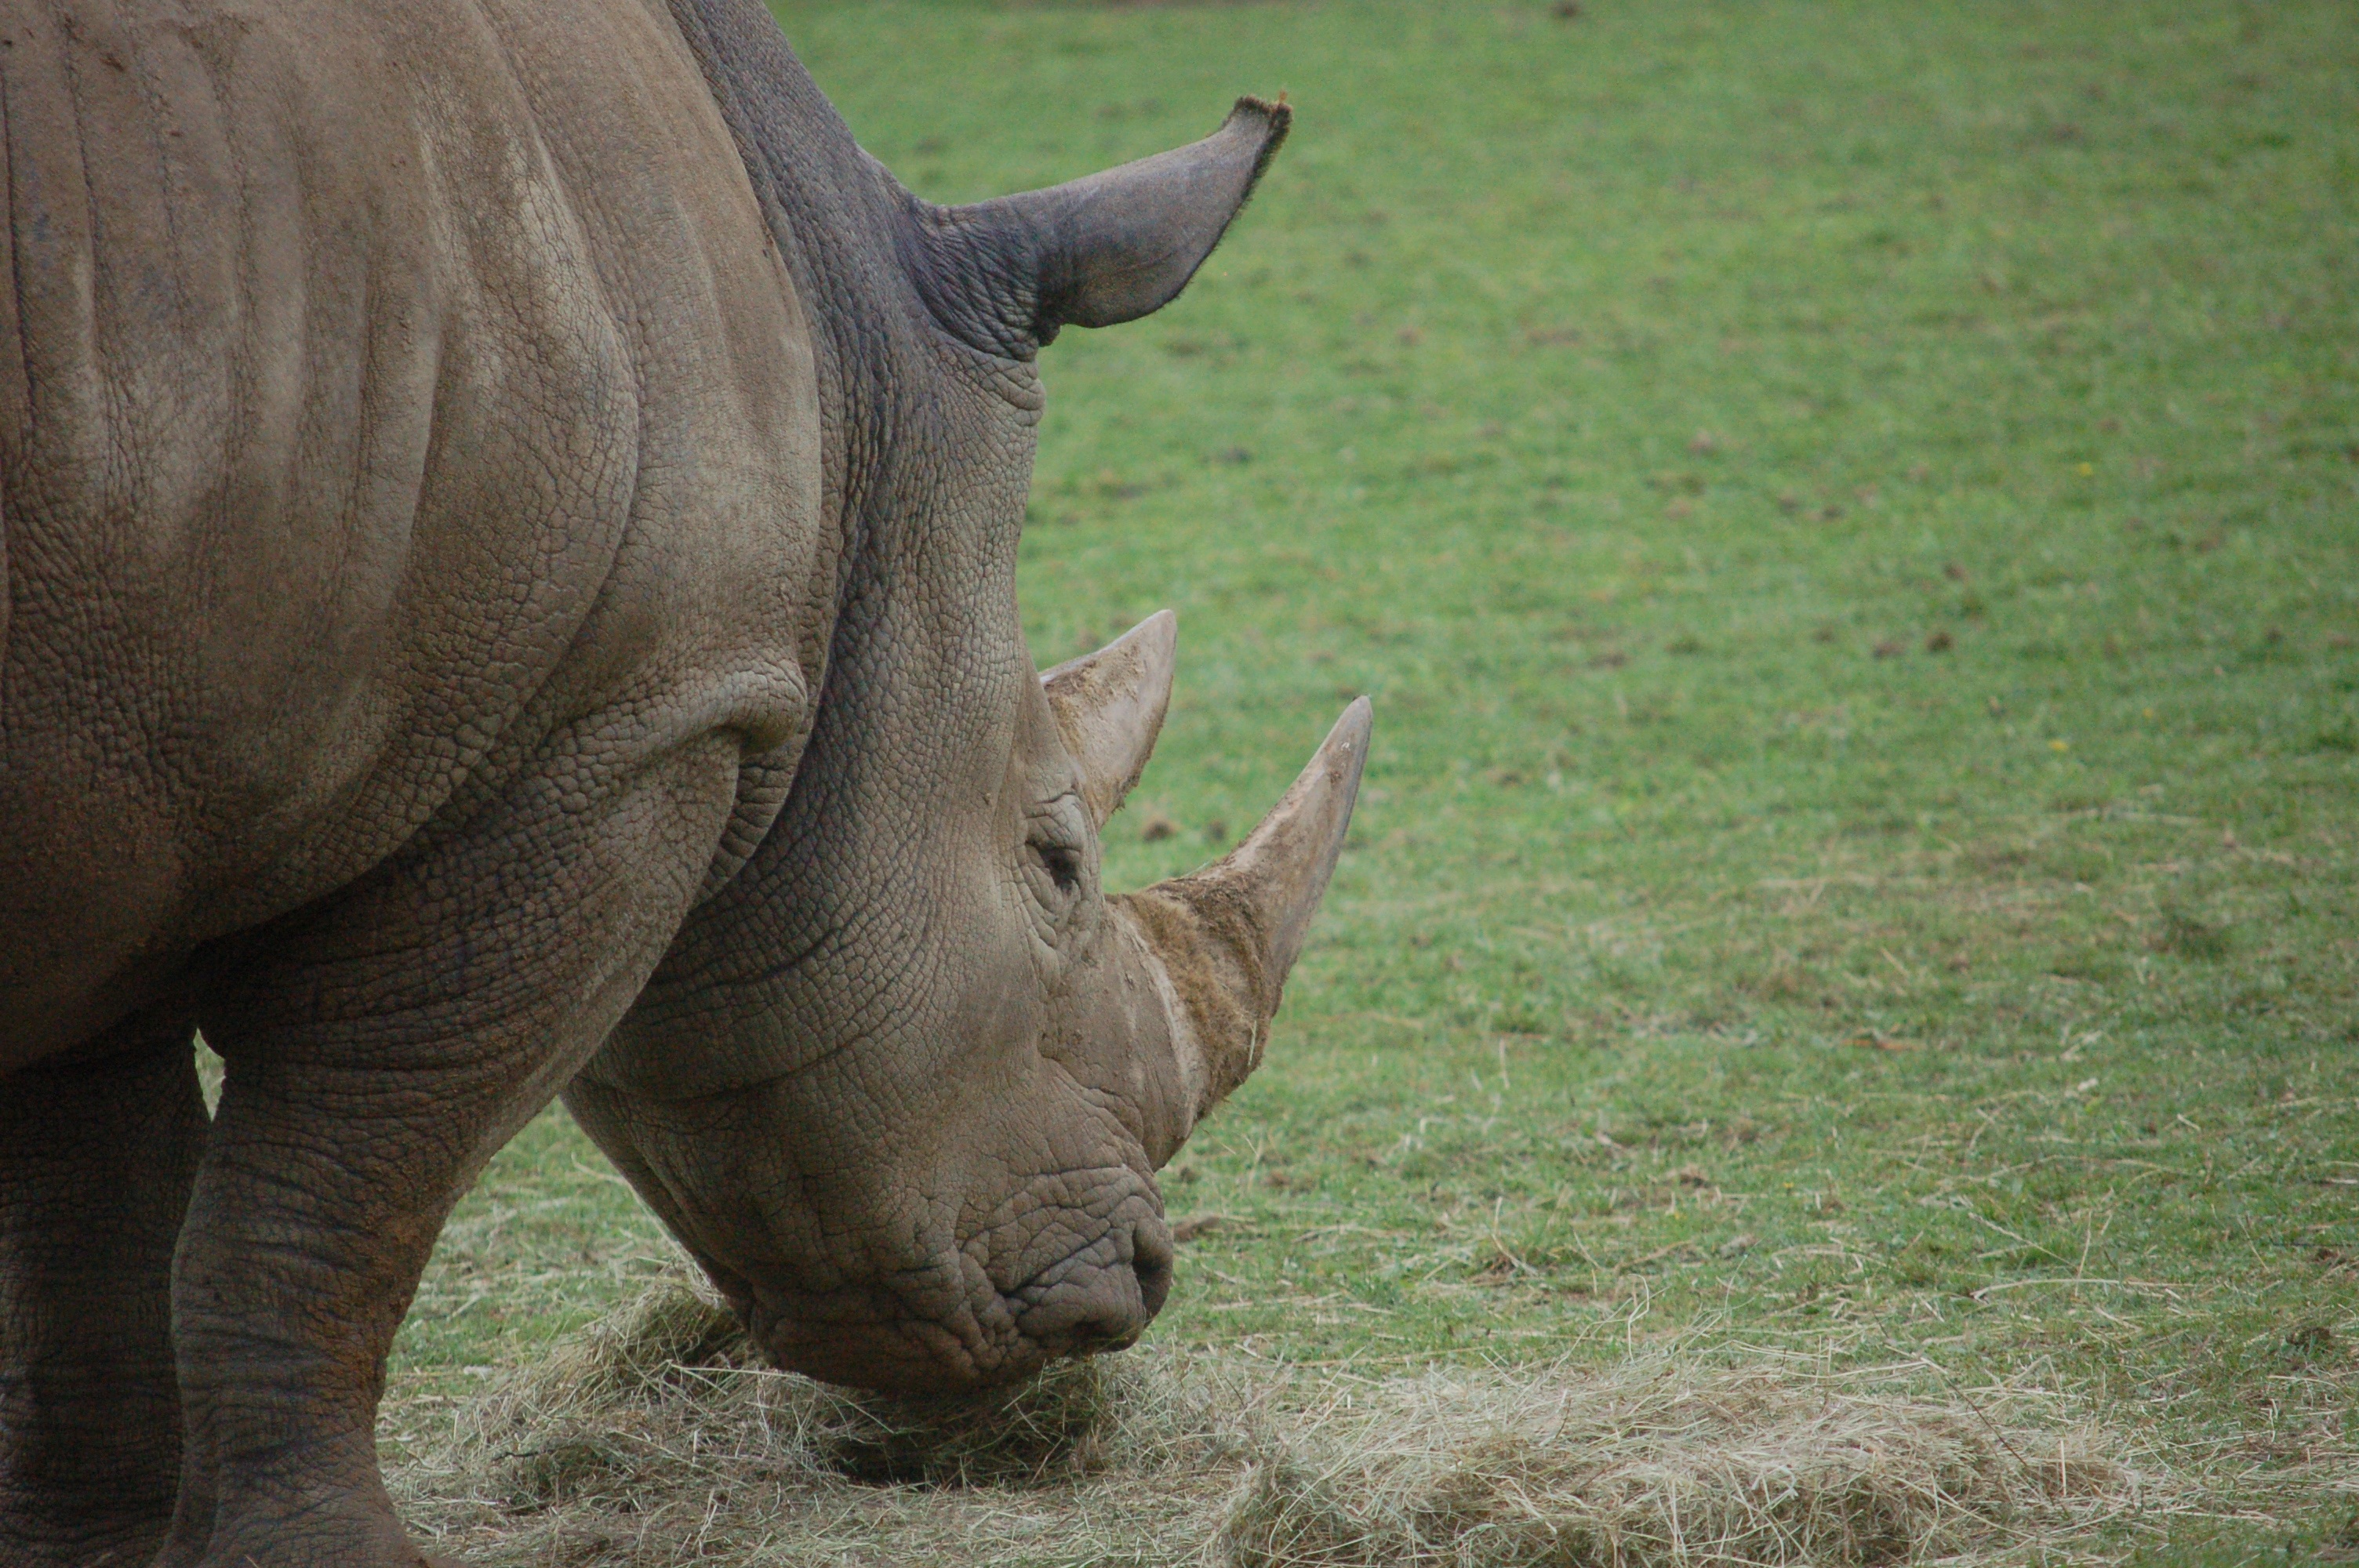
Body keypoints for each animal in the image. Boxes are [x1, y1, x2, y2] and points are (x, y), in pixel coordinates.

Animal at [0, 1, 1370, 1564]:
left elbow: (91, 1210)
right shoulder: (622, 734)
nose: (1137, 1285)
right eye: (1057, 862)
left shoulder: (121, 802)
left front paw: (96, 1545)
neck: (850, 392)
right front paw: (329, 1552)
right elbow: (325, 1200)